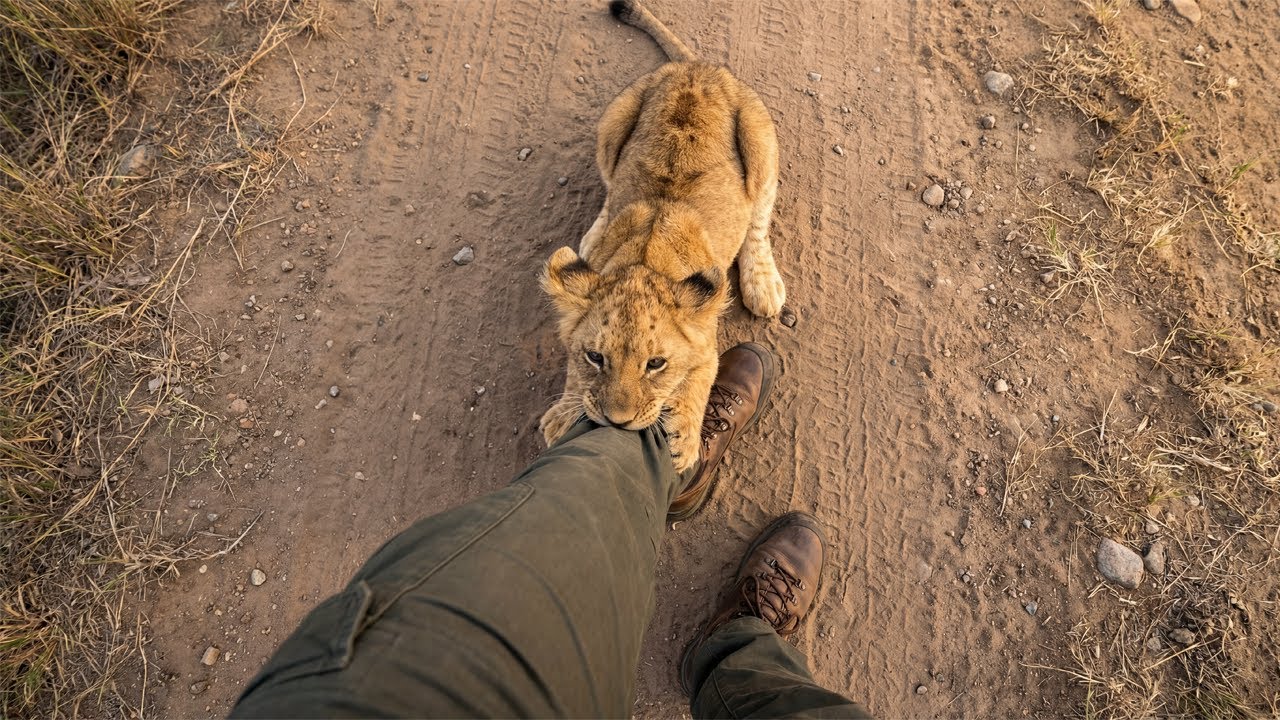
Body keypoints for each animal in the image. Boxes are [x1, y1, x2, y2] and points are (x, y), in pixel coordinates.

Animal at [539, 0, 784, 472]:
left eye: (656, 364)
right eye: (595, 357)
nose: (616, 422)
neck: (646, 259)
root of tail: (696, 67)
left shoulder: (708, 343)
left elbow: (701, 380)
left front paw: (685, 439)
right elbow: (572, 372)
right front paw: (563, 412)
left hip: (761, 137)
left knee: (759, 213)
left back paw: (763, 282)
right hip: (613, 122)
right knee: (610, 185)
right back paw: (593, 233)